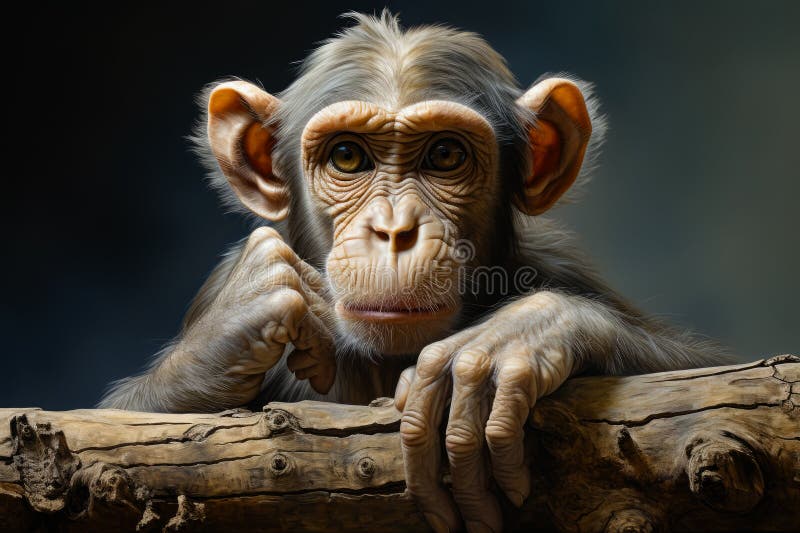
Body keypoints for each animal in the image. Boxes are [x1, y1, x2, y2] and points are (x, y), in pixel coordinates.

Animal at [99, 11, 730, 533]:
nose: (395, 228)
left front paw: (517, 337)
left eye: (445, 156)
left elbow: (716, 381)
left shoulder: (562, 267)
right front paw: (239, 321)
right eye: (347, 156)